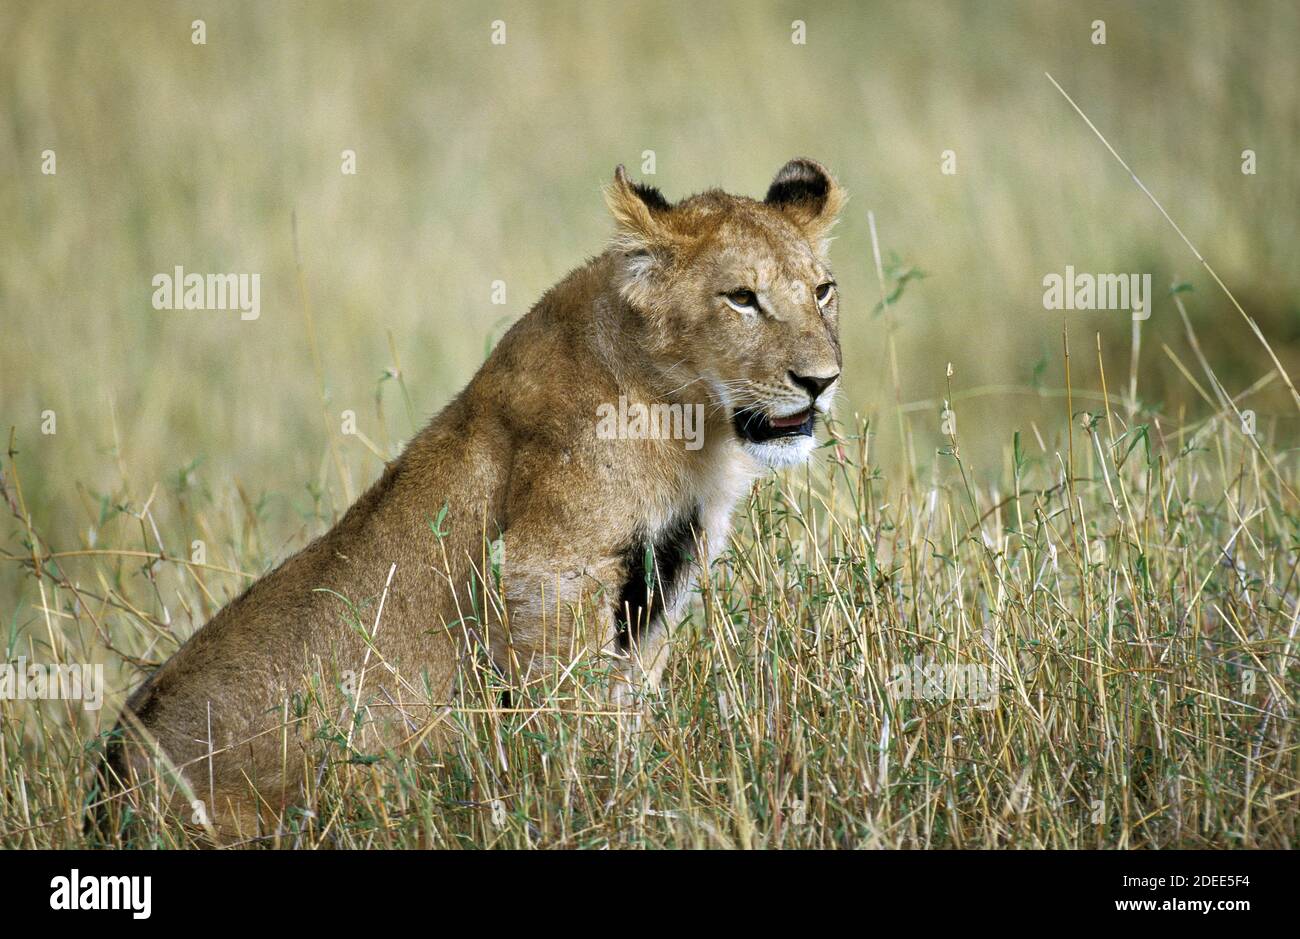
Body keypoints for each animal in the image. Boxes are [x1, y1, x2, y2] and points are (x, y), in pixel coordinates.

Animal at [93, 158, 845, 840]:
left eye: (822, 291)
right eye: (741, 297)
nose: (821, 381)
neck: (693, 425)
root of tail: (107, 785)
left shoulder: (663, 580)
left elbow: (629, 697)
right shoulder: (551, 567)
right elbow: (574, 711)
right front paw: (606, 801)